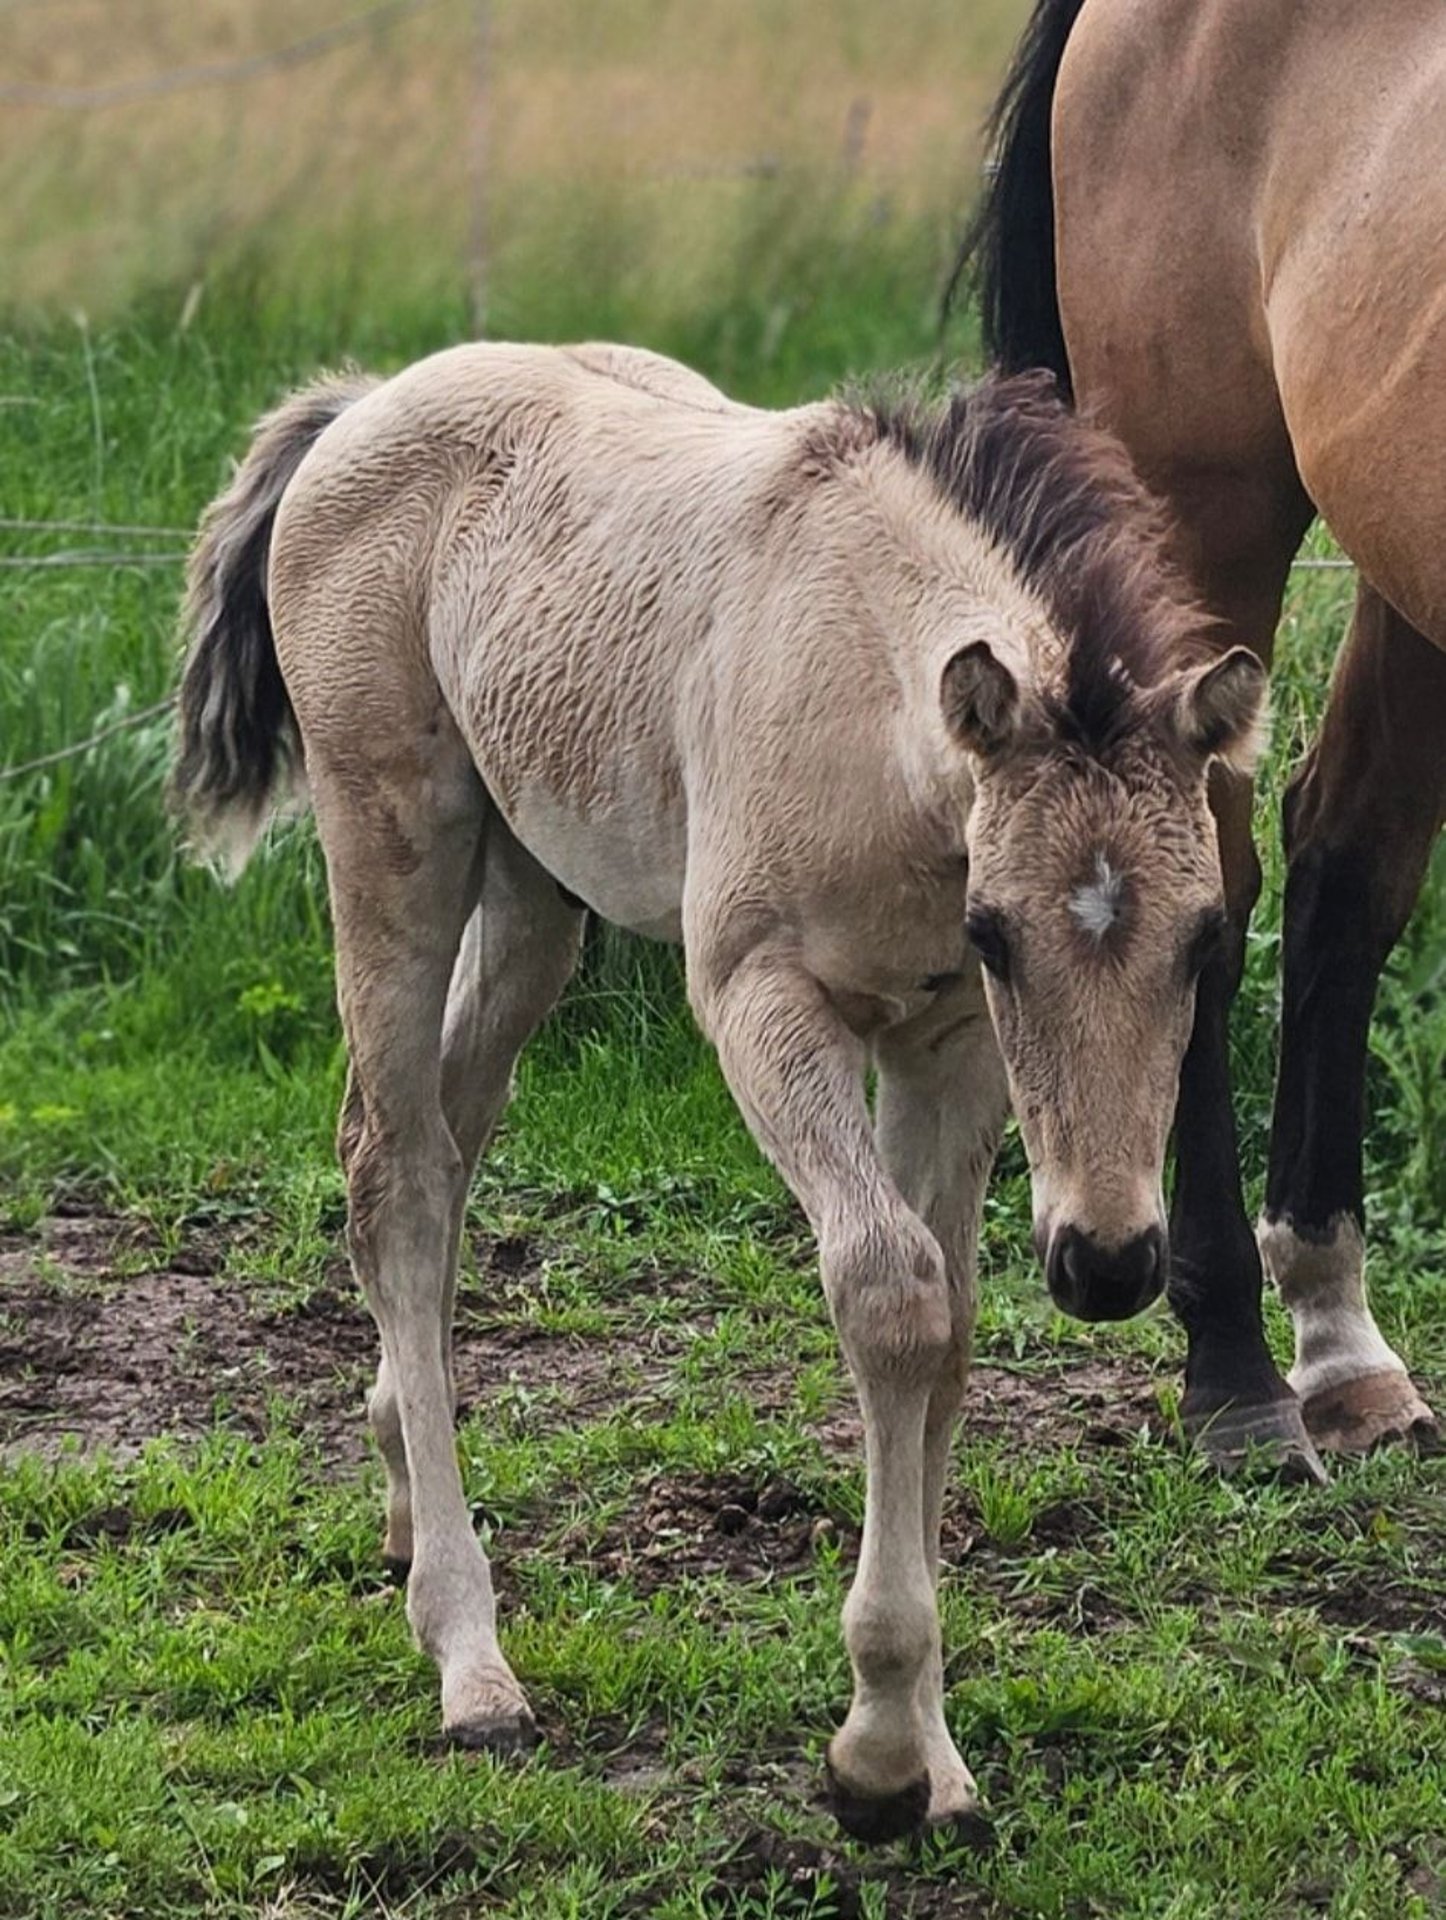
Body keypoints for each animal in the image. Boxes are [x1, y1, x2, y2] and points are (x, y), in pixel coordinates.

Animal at [173, 340, 1265, 1841]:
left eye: (1206, 938)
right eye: (997, 934)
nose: (1107, 1264)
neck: (873, 719)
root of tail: (372, 394)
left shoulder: (947, 1048)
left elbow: (949, 1330)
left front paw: (934, 1760)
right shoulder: (759, 998)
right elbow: (890, 1295)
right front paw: (874, 1757)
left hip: (537, 892)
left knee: (444, 1148)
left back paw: (400, 1481)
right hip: (394, 830)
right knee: (391, 1173)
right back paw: (470, 1658)